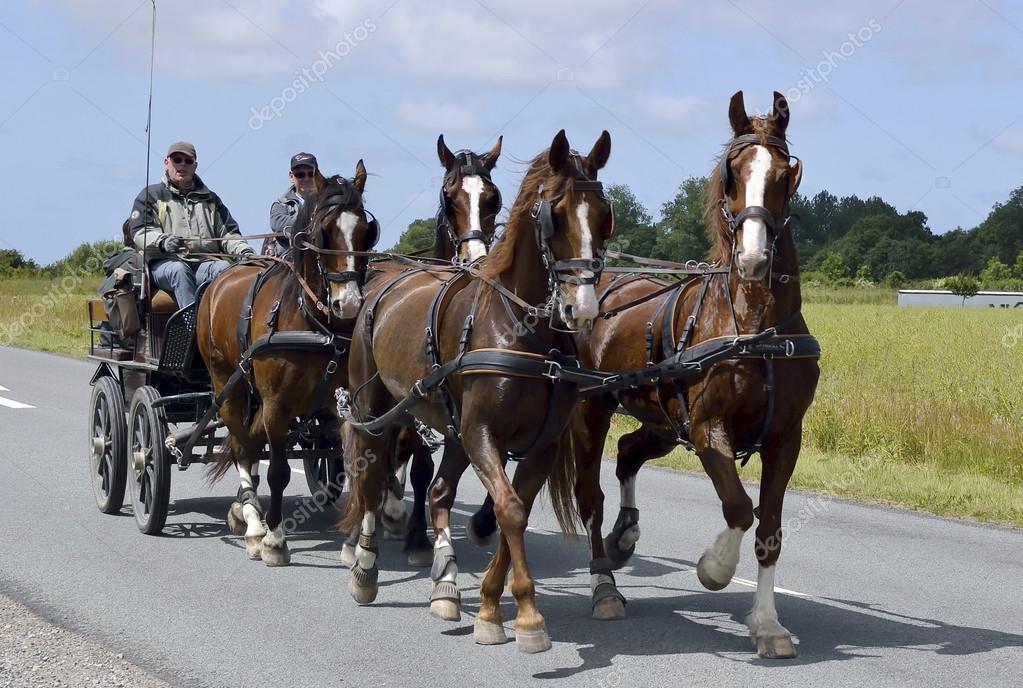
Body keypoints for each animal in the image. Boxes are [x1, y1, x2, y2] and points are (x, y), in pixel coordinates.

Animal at [197, 161, 380, 565]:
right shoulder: (276, 404)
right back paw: (253, 525)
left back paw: (243, 510)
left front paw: (354, 546)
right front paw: (274, 539)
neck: (312, 321)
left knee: (248, 443)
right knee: (243, 447)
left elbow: (356, 467)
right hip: (226, 384)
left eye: (366, 231)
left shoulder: (345, 405)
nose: (349, 304)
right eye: (325, 230)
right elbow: (278, 471)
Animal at [339, 129, 614, 653]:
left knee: (438, 491)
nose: (583, 307)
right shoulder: (482, 432)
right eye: (555, 213)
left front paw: (489, 604)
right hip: (373, 407)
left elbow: (512, 512)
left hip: (450, 426)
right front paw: (527, 614)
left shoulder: (539, 445)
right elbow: (509, 509)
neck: (521, 329)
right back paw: (364, 566)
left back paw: (445, 584)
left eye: (604, 214)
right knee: (369, 473)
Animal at [468, 91, 819, 658]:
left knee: (630, 451)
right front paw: (714, 568)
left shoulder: (786, 437)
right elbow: (738, 508)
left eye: (787, 173)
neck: (755, 324)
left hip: (664, 420)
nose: (753, 259)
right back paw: (604, 583)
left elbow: (769, 529)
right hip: (595, 412)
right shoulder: (708, 430)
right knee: (591, 495)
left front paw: (767, 624)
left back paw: (625, 534)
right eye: (732, 173)